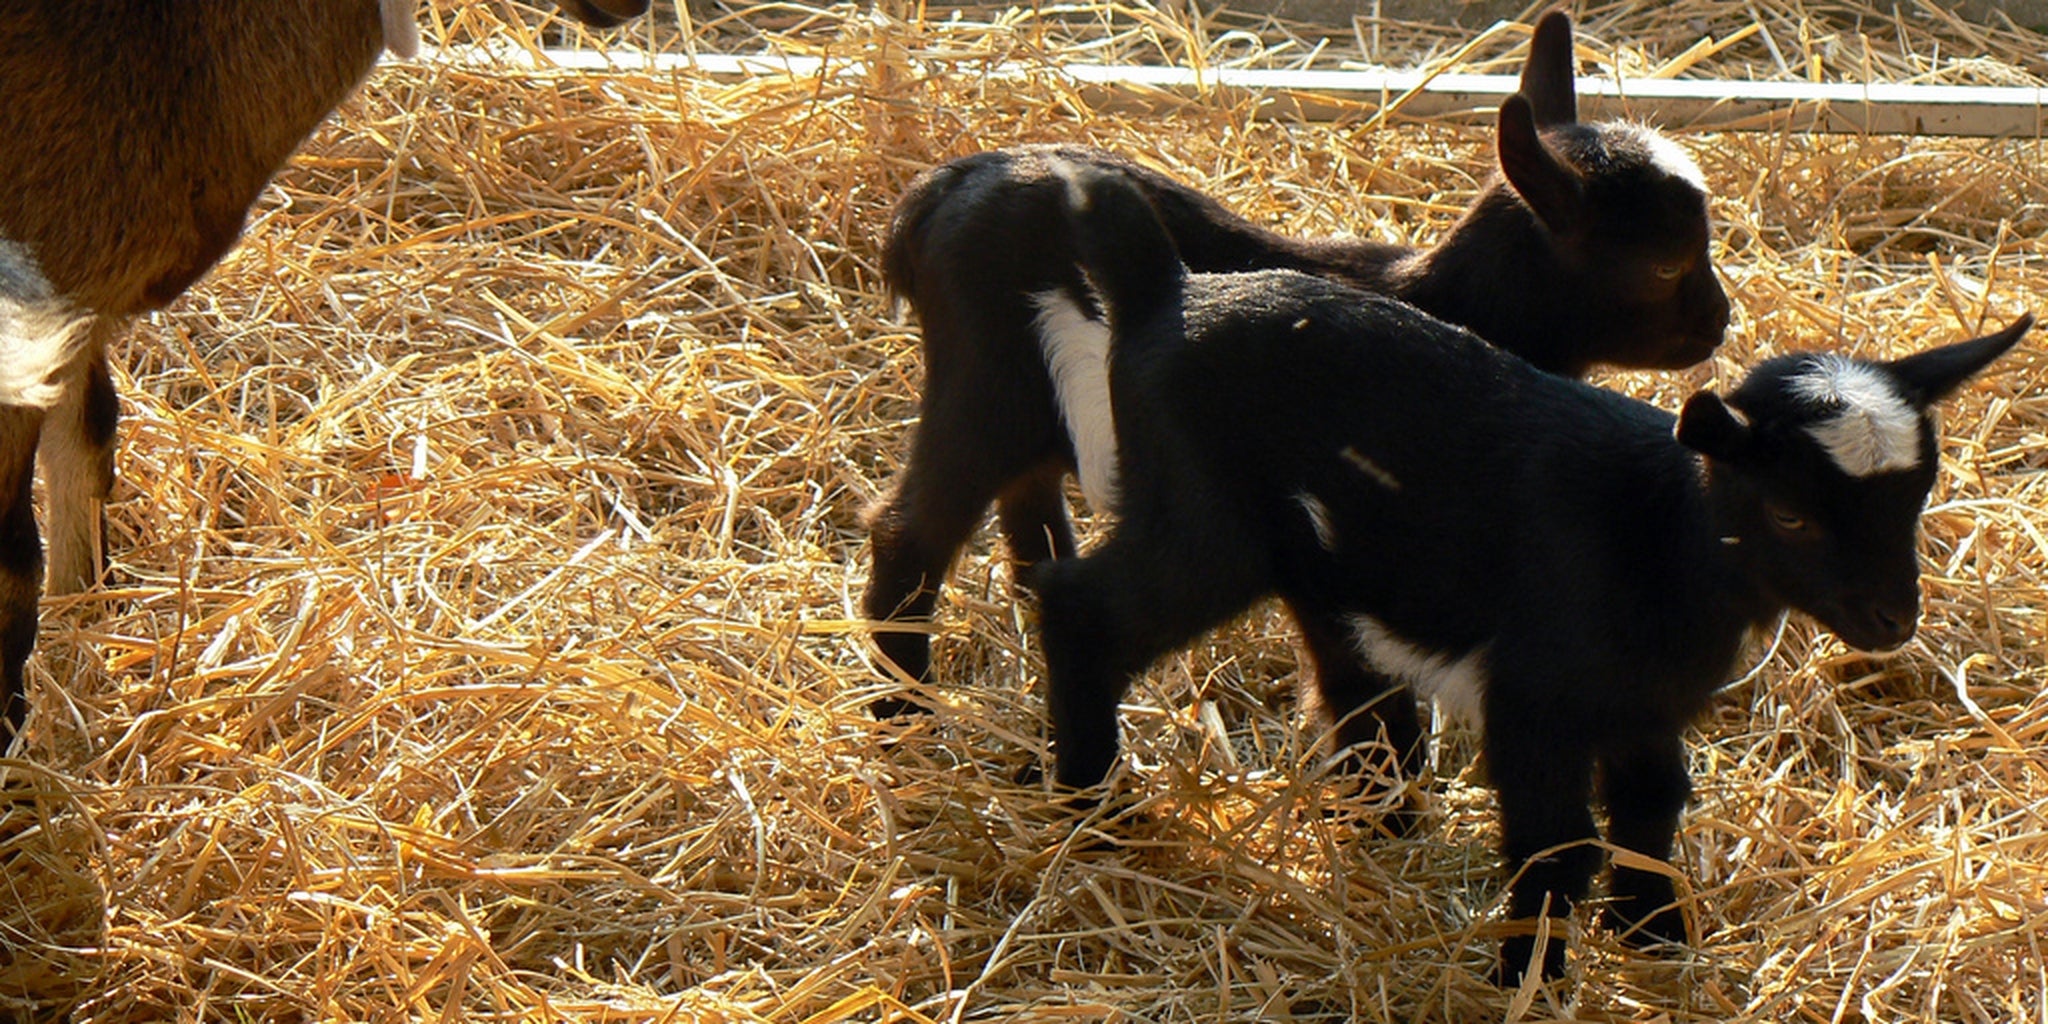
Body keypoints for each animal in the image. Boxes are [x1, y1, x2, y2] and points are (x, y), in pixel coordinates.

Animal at [864, 11, 1732, 743]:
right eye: (1664, 264)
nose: (1722, 319)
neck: (1446, 300)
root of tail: (931, 196)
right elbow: (1364, 688)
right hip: (984, 387)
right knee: (912, 530)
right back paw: (903, 710)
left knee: (1028, 495)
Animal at [1035, 159, 2029, 983]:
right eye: (1790, 513)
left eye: (1919, 495)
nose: (1894, 620)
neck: (1660, 538)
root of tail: (1165, 293)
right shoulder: (1534, 700)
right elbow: (1559, 847)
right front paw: (1530, 978)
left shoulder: (1643, 706)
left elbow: (1651, 809)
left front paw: (1655, 940)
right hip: (1201, 520)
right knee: (1082, 610)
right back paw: (1091, 809)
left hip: (1314, 551)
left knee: (1341, 662)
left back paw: (1378, 819)